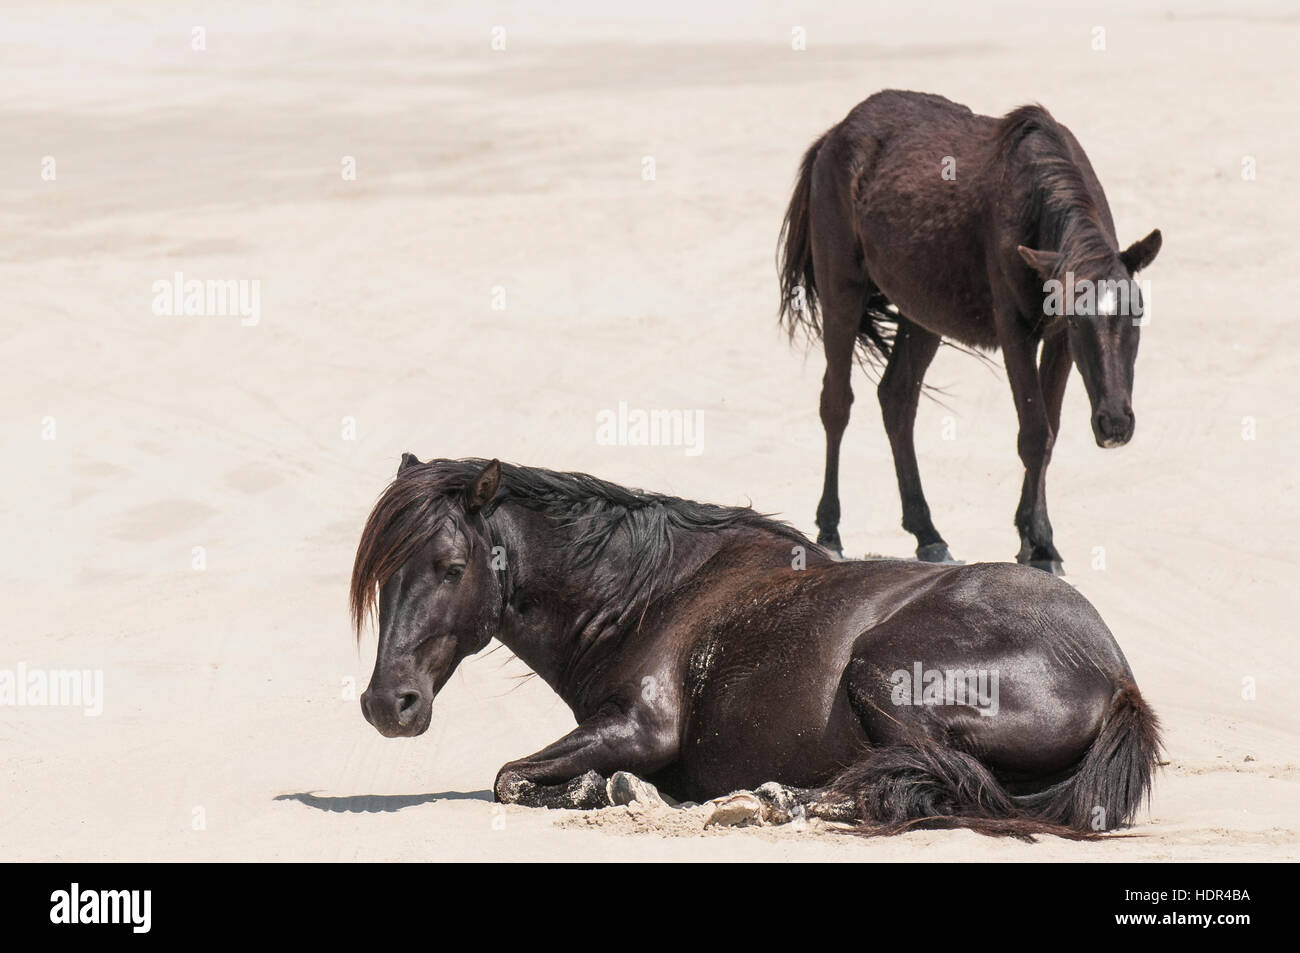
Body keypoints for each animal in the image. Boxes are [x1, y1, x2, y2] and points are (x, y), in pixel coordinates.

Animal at [351, 455, 1161, 838]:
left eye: (450, 567)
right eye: (383, 575)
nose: (388, 704)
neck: (648, 593)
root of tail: (1115, 674)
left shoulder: (642, 729)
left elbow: (510, 777)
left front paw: (611, 788)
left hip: (881, 672)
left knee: (912, 785)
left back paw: (773, 798)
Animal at [778, 90, 1162, 573]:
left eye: (1137, 312)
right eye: (1079, 320)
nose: (1114, 424)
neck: (1036, 201)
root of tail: (834, 135)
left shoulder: (1056, 341)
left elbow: (1050, 430)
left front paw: (1031, 535)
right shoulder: (1017, 331)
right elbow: (1034, 433)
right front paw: (1040, 546)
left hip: (921, 311)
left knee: (897, 399)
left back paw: (928, 535)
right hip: (841, 291)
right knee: (836, 402)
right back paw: (829, 530)